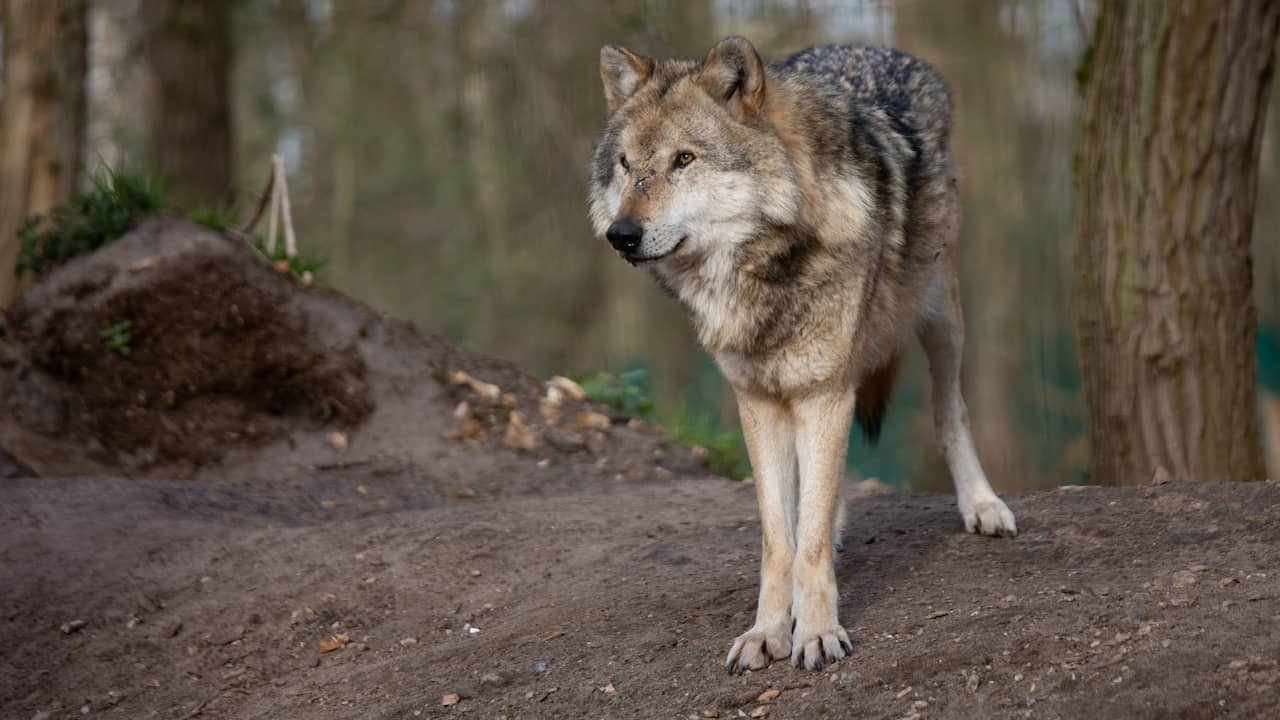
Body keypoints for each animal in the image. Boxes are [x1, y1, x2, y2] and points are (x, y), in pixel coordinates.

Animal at [588, 37, 1017, 672]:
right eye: (624, 164)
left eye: (684, 160)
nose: (620, 234)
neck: (762, 272)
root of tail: (872, 47)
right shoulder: (760, 402)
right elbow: (780, 540)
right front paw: (768, 631)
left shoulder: (824, 393)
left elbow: (807, 541)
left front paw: (816, 632)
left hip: (940, 317)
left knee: (951, 413)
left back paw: (982, 505)